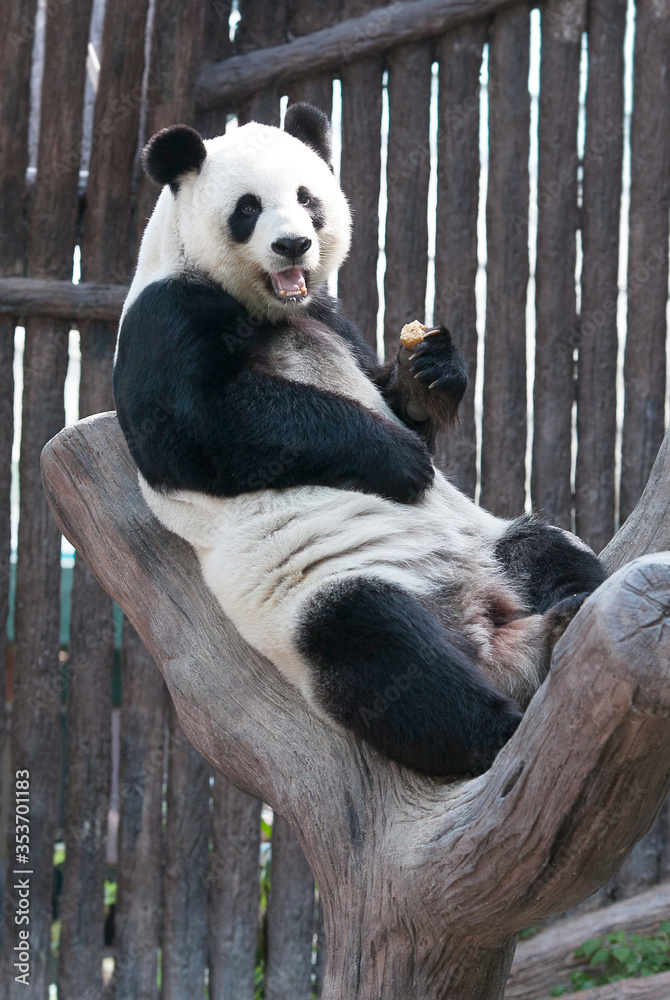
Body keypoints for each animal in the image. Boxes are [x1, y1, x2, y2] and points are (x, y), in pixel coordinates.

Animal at [113, 103, 605, 778]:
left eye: (307, 197)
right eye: (248, 208)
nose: (293, 243)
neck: (271, 307)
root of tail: (485, 634)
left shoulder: (328, 315)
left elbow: (391, 391)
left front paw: (430, 372)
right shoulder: (165, 317)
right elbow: (197, 430)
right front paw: (402, 461)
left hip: (490, 544)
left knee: (546, 547)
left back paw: (573, 615)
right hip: (322, 595)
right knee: (380, 650)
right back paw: (496, 729)